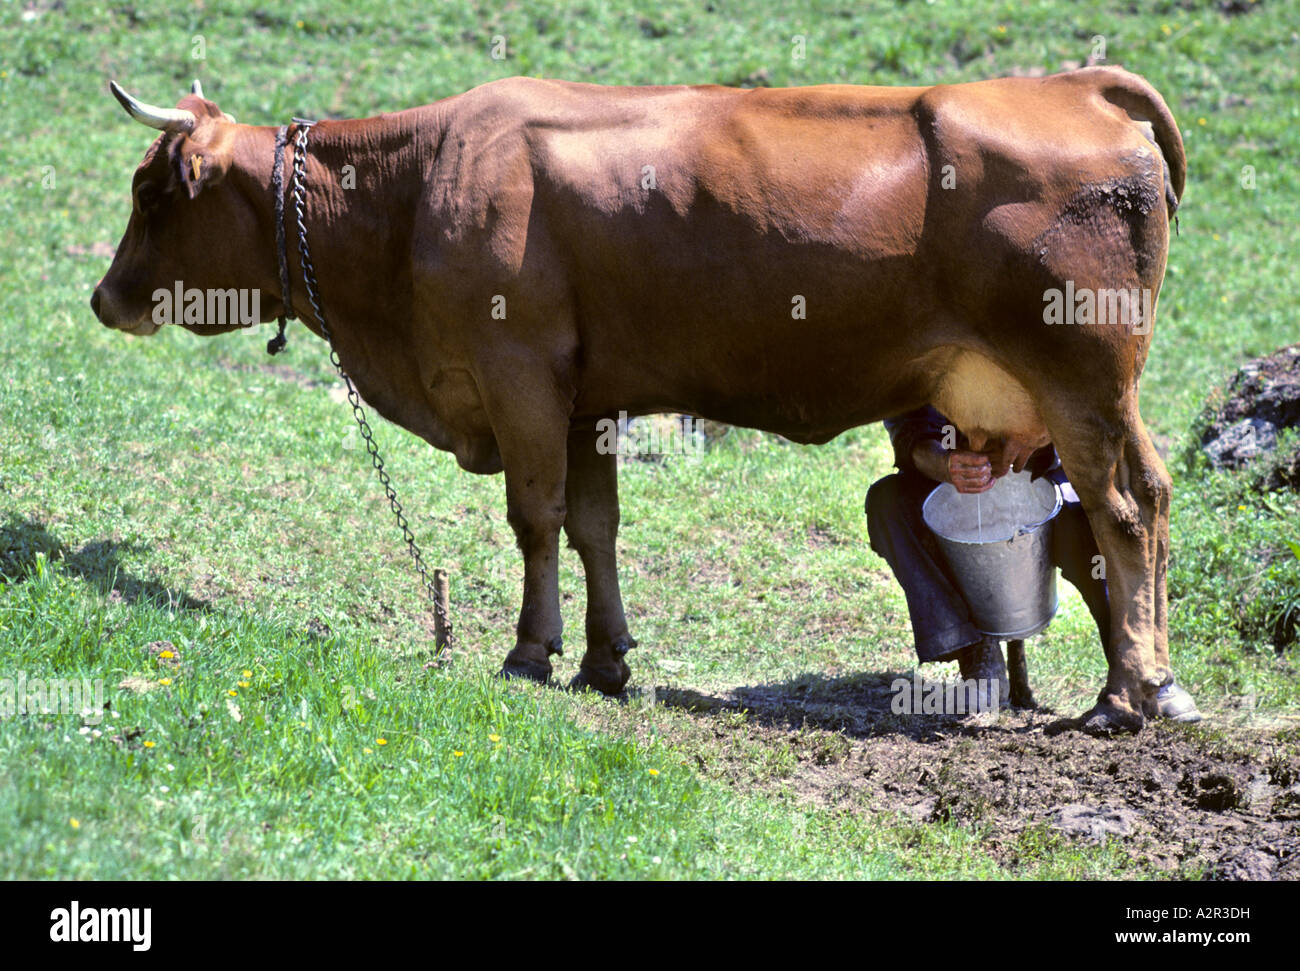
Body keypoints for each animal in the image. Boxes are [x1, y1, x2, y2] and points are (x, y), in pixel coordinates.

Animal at [92, 68, 1185, 732]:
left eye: (150, 192)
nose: (104, 299)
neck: (417, 188)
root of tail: (1074, 83)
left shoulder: (519, 367)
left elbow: (534, 516)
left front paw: (530, 651)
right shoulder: (584, 397)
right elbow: (593, 524)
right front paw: (605, 659)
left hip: (1085, 377)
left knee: (1126, 506)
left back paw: (1130, 688)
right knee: (1134, 504)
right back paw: (1142, 683)